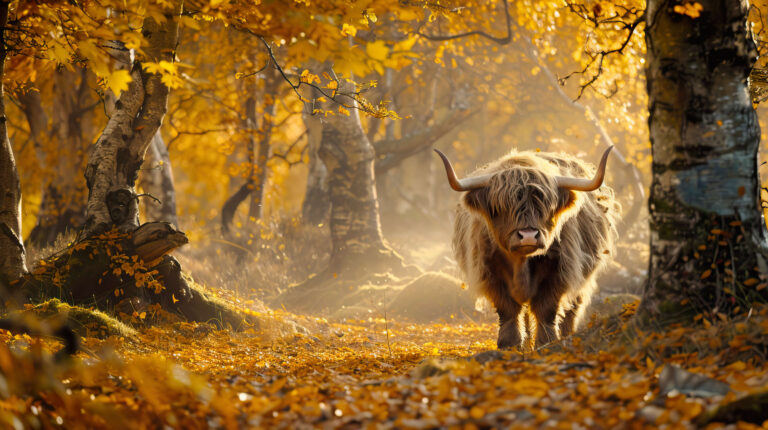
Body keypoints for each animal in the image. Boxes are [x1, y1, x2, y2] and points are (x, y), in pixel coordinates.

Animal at [435, 146, 620, 349]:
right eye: (500, 206)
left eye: (545, 205)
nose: (528, 236)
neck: (520, 263)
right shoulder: (490, 274)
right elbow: (508, 309)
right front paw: (510, 343)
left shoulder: (559, 272)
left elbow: (546, 309)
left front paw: (546, 341)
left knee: (573, 306)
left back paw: (567, 335)